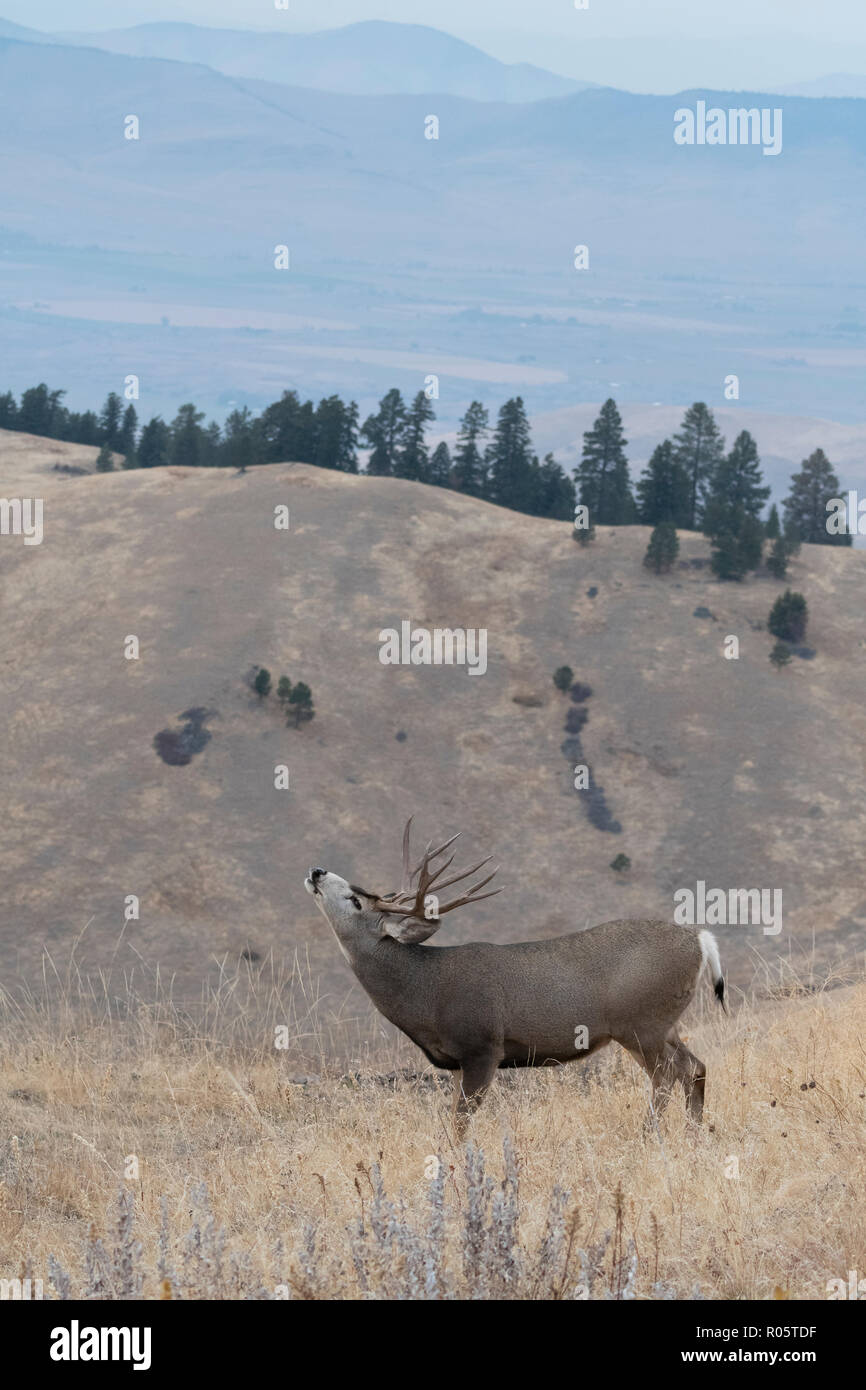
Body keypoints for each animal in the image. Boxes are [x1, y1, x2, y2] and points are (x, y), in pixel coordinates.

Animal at [304, 819, 727, 1135]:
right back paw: (693, 1134)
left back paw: (650, 1136)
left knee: (667, 1075)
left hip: (642, 1022)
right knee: (694, 1067)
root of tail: (700, 940)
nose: (316, 870)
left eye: (356, 900)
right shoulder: (457, 1063)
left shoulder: (482, 1046)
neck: (425, 990)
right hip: (664, 1024)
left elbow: (459, 1124)